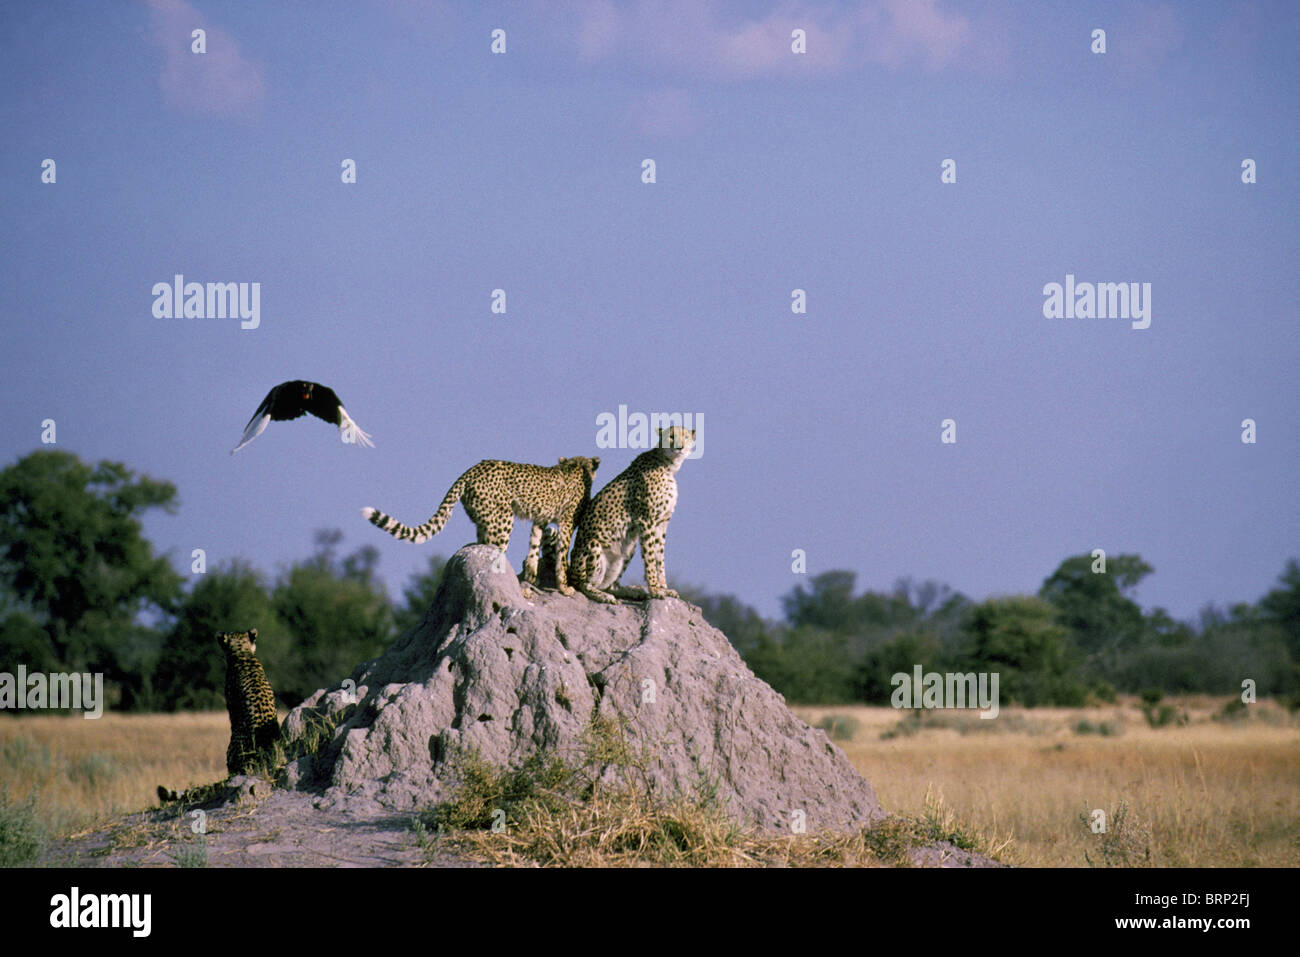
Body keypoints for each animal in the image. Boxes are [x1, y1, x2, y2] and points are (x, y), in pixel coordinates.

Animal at [361, 455, 600, 593]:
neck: (577, 466)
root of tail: (474, 468)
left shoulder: (540, 520)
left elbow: (534, 546)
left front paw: (532, 576)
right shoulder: (567, 523)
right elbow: (562, 555)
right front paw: (565, 587)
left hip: (484, 519)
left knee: (482, 544)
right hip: (503, 518)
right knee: (495, 549)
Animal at [564, 426, 695, 604]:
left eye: (686, 437)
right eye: (671, 436)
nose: (679, 447)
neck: (668, 464)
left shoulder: (662, 523)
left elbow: (660, 557)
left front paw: (664, 588)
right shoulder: (646, 521)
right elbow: (650, 558)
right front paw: (655, 589)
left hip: (628, 547)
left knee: (609, 585)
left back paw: (632, 592)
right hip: (593, 546)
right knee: (583, 585)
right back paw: (603, 596)